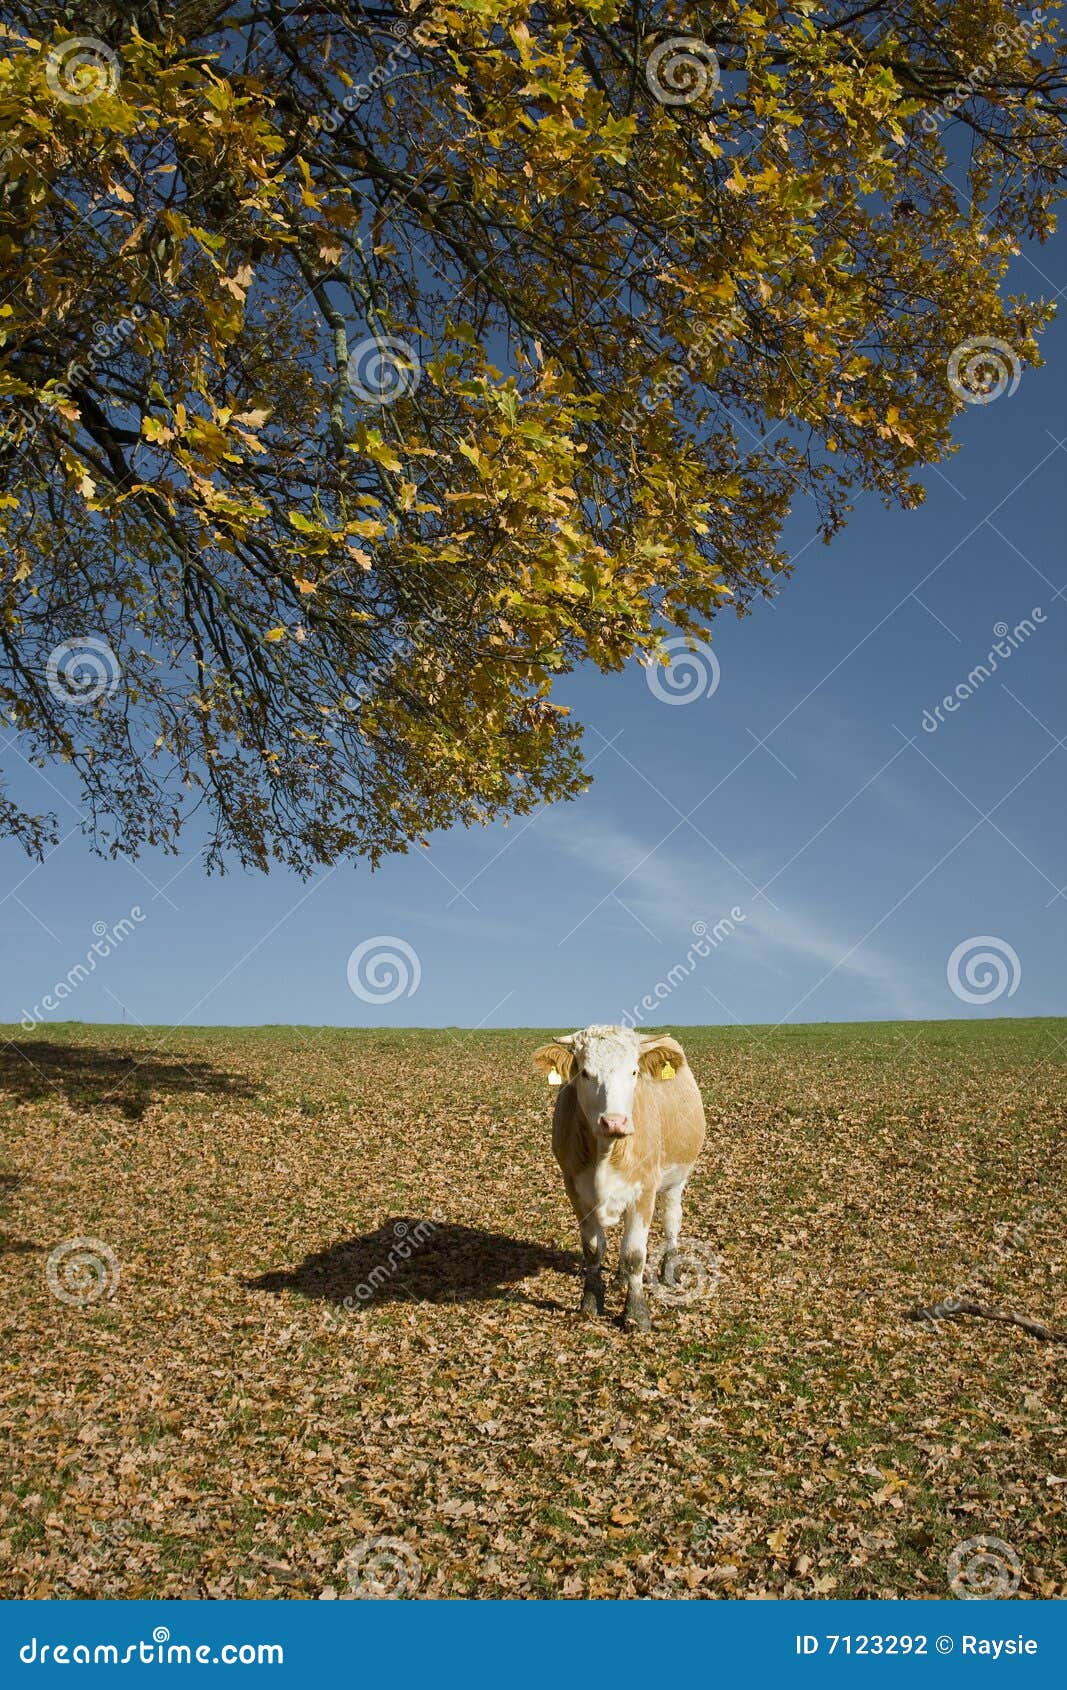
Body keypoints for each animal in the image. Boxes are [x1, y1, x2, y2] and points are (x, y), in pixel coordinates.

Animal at [533, 1025, 706, 1332]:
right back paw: (621, 1278)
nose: (614, 1121)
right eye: (585, 1072)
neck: (607, 1151)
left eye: (633, 1071)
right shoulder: (576, 1193)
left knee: (672, 1221)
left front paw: (636, 1313)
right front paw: (590, 1302)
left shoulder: (644, 1192)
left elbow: (635, 1254)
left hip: (677, 1179)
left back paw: (669, 1270)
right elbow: (593, 1249)